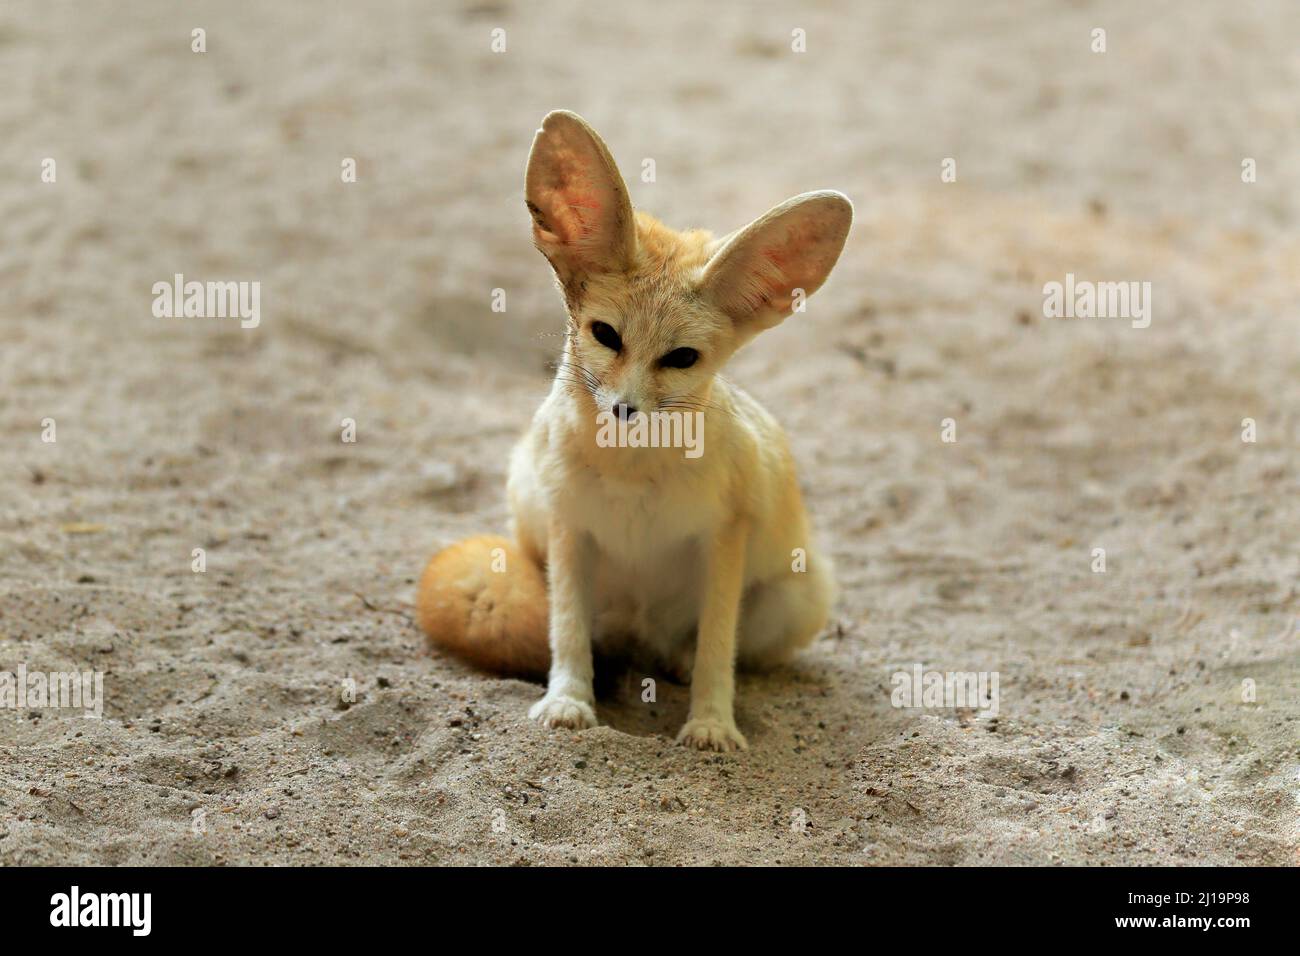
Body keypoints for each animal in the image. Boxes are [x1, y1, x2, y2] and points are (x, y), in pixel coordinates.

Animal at [417, 110, 851, 751]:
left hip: (797, 598)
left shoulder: (723, 538)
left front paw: (711, 723)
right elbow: (567, 630)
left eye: (681, 358)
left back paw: (677, 662)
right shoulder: (569, 528)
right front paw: (568, 702)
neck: (631, 473)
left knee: (705, 650)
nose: (625, 411)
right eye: (606, 335)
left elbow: (717, 646)